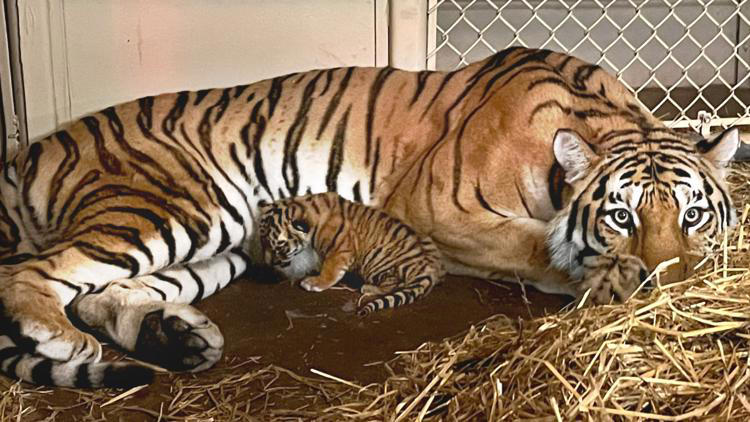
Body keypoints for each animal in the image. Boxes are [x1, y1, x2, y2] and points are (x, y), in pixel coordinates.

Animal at [258, 192, 444, 316]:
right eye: (262, 242)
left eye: (279, 248)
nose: (268, 264)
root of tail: (425, 266)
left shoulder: (339, 251)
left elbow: (329, 270)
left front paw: (314, 283)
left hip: (374, 260)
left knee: (393, 283)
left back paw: (369, 288)